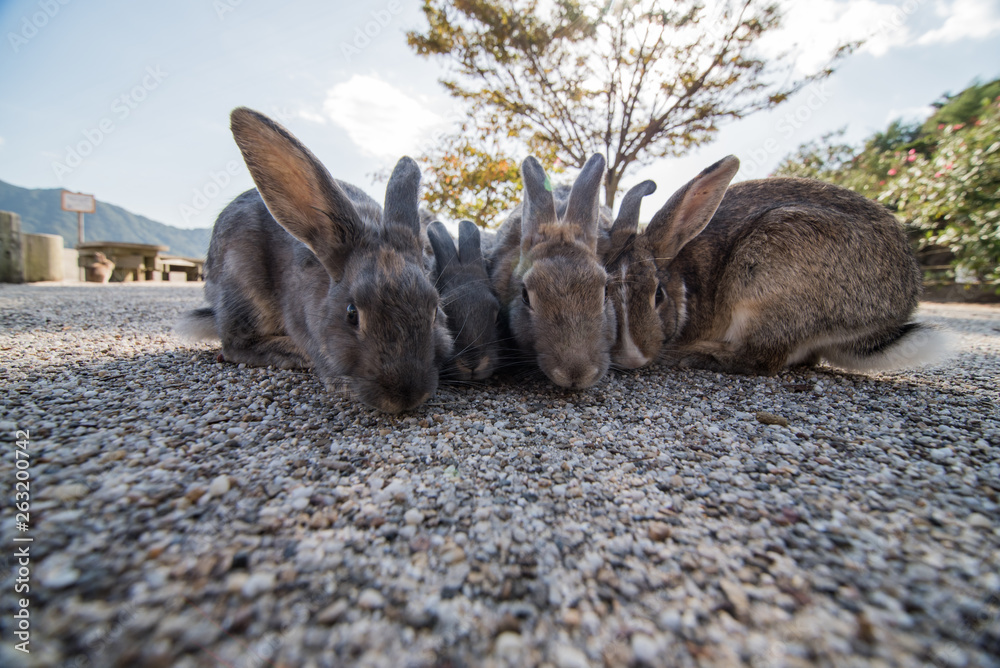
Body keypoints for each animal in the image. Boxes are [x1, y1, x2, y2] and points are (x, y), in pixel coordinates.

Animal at [175, 107, 453, 413]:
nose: (405, 396)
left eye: (434, 310)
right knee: (234, 344)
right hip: (242, 283)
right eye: (351, 314)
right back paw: (294, 352)